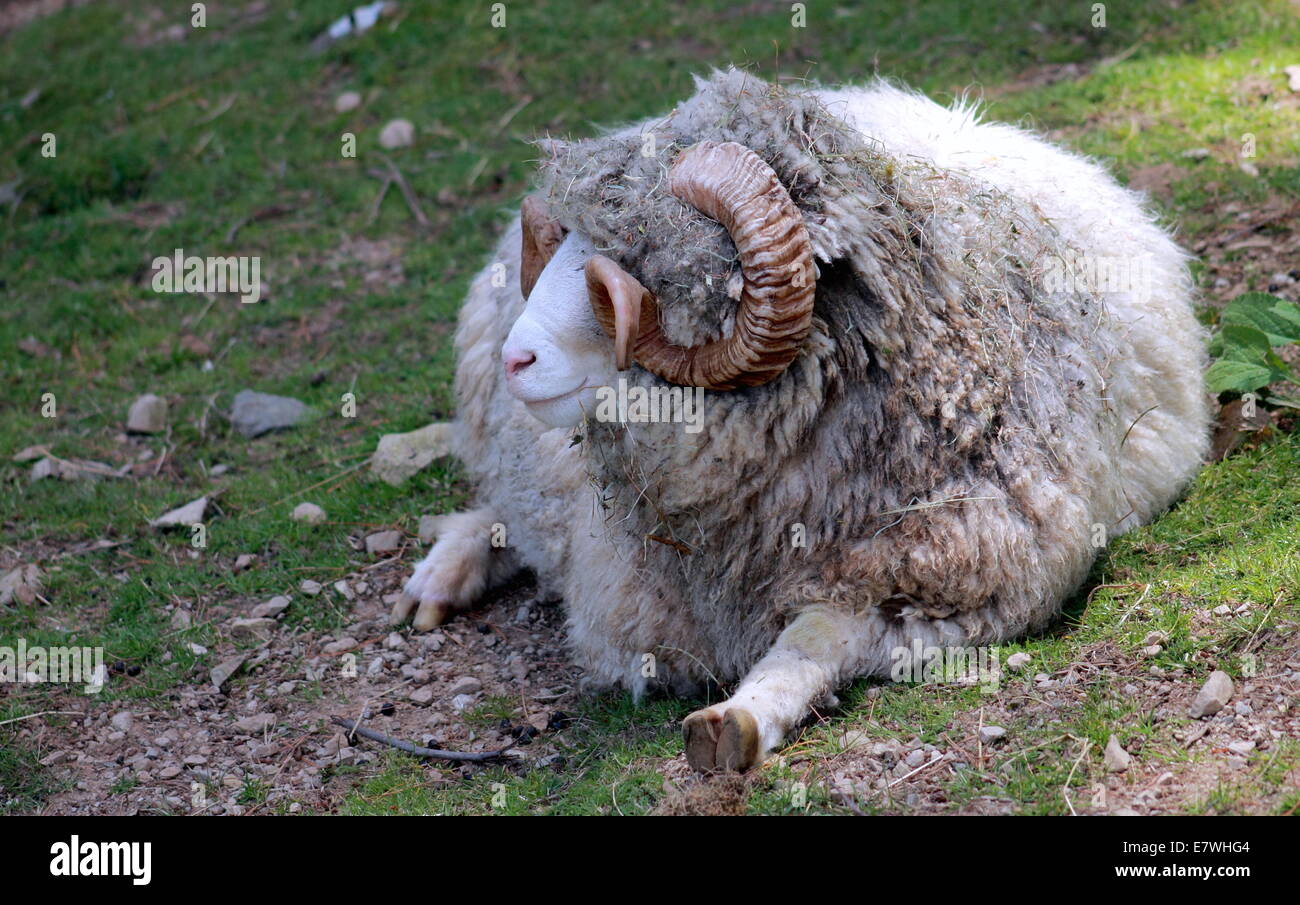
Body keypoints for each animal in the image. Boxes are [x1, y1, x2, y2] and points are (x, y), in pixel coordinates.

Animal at [391, 69, 1210, 772]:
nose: (515, 358)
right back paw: (439, 576)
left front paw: (740, 716)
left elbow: (814, 636)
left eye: (632, 275)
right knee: (507, 506)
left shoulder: (952, 592)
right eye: (561, 243)